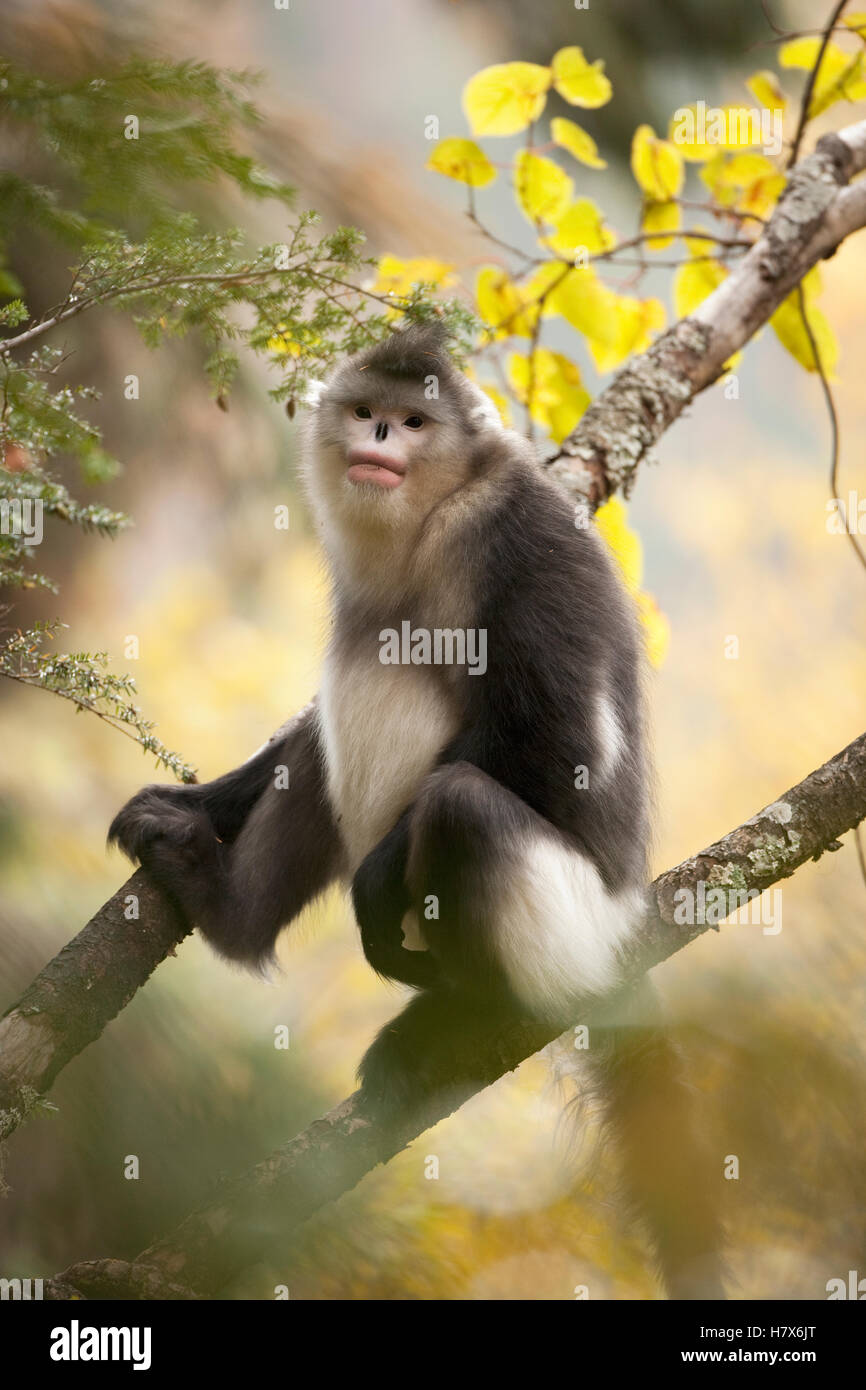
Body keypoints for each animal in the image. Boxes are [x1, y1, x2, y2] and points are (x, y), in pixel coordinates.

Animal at [109, 322, 725, 1299]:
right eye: (366, 410)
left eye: (412, 420)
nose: (377, 439)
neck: (434, 513)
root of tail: (625, 921)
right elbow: (308, 727)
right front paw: (196, 800)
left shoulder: (517, 532)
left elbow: (557, 746)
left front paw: (374, 881)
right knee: (329, 735)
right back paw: (227, 909)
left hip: (575, 927)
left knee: (464, 806)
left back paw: (457, 1017)